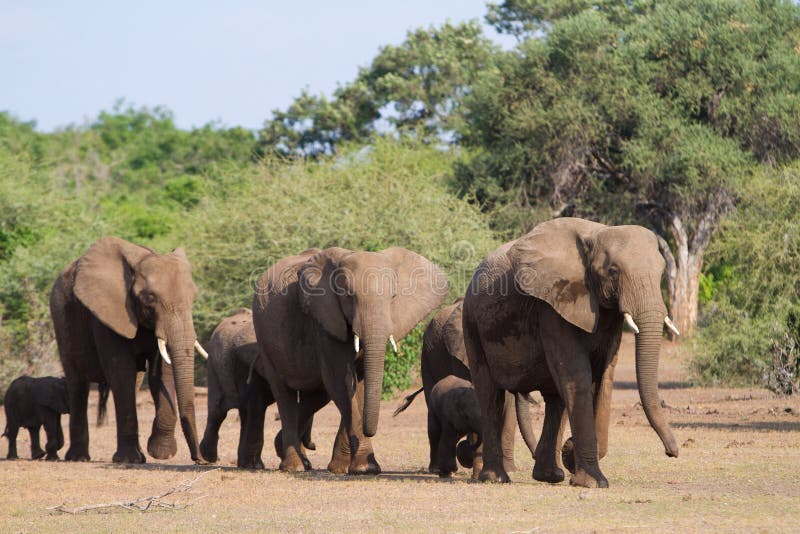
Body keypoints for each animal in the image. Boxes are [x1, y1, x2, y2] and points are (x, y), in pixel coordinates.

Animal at [49, 236, 208, 463]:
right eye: (150, 297)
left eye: (193, 298)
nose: (200, 459)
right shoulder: (107, 314)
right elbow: (120, 372)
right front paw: (129, 459)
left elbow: (160, 372)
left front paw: (161, 453)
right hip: (61, 318)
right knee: (78, 383)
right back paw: (78, 458)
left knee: (134, 381)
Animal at [199, 308, 315, 467]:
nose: (313, 446)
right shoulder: (249, 364)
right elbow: (257, 405)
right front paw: (256, 466)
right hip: (213, 366)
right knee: (218, 411)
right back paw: (208, 458)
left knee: (243, 413)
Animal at [249, 246, 447, 474]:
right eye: (348, 296)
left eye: (393, 297)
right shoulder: (324, 319)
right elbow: (341, 382)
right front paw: (366, 468)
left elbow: (356, 386)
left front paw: (342, 468)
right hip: (264, 338)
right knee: (284, 394)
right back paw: (295, 466)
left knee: (317, 395)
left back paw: (295, 455)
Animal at [393, 299, 538, 474]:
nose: (535, 456)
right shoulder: (462, 351)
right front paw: (469, 457)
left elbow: (508, 407)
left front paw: (509, 469)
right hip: (426, 356)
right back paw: (436, 468)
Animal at [462, 217, 680, 488]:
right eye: (613, 271)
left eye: (661, 272)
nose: (672, 452)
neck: (597, 234)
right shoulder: (551, 308)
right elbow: (579, 376)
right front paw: (593, 482)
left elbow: (604, 377)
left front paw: (571, 455)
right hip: (471, 324)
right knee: (490, 394)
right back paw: (496, 479)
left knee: (555, 398)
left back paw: (550, 476)